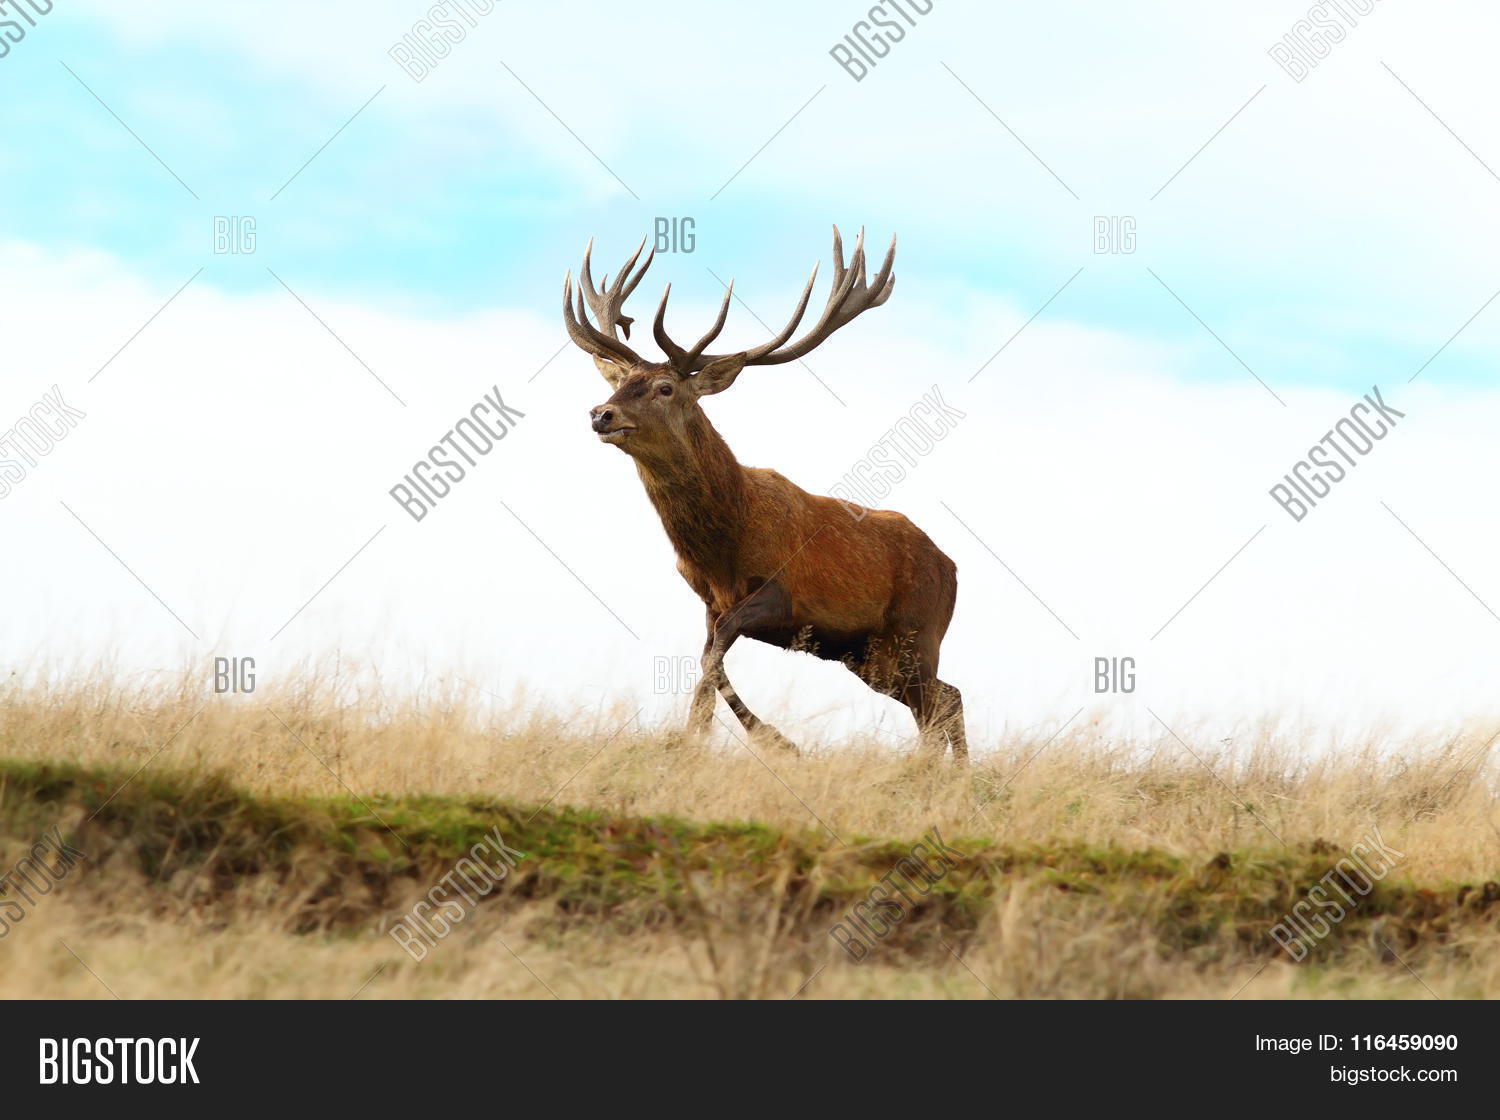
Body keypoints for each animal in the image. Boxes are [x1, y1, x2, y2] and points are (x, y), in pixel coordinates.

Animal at [562, 226, 968, 764]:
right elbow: (708, 661)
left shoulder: (780, 592)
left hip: (917, 630)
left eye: (665, 388)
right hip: (868, 654)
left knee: (936, 707)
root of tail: (953, 568)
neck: (721, 548)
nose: (601, 414)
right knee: (949, 697)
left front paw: (772, 740)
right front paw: (703, 735)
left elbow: (714, 657)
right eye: (623, 381)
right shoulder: (710, 604)